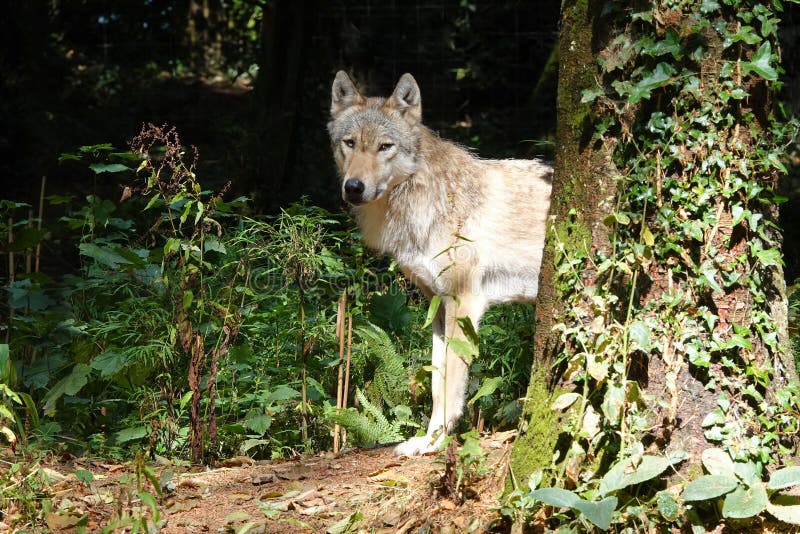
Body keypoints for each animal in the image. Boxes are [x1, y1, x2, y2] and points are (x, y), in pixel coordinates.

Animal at [328, 71, 552, 456]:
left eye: (385, 147)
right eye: (350, 143)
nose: (354, 187)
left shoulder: (464, 304)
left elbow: (450, 383)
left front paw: (435, 443)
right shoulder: (438, 306)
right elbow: (436, 382)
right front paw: (427, 437)